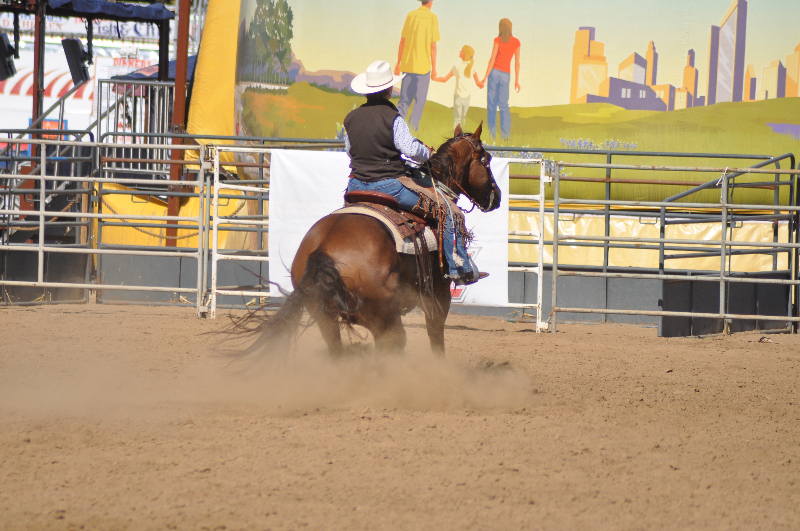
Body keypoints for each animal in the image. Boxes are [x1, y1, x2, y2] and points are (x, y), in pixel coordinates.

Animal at [244, 123, 500, 357]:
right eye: (486, 160)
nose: (496, 196)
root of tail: (323, 250)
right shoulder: (438, 294)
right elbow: (436, 337)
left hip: (325, 317)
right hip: (382, 317)